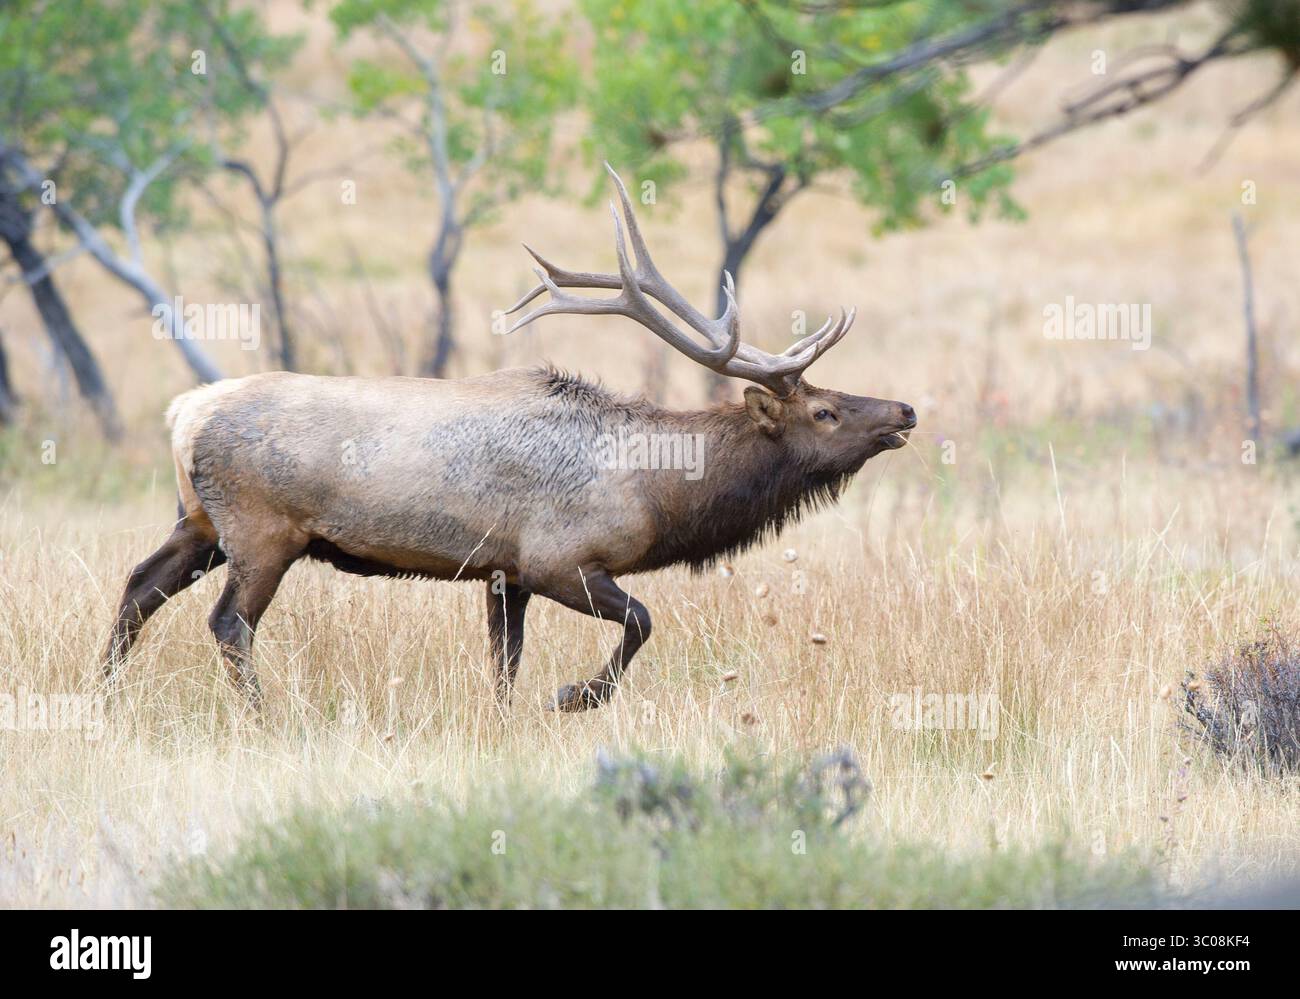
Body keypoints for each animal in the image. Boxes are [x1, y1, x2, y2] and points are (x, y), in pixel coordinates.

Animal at [103, 165, 916, 712]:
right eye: (825, 411)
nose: (904, 411)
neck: (655, 493)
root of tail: (185, 413)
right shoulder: (560, 558)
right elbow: (642, 621)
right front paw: (575, 697)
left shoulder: (505, 572)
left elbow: (504, 666)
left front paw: (506, 719)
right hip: (262, 529)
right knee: (227, 622)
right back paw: (265, 714)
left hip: (199, 522)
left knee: (138, 587)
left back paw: (102, 696)